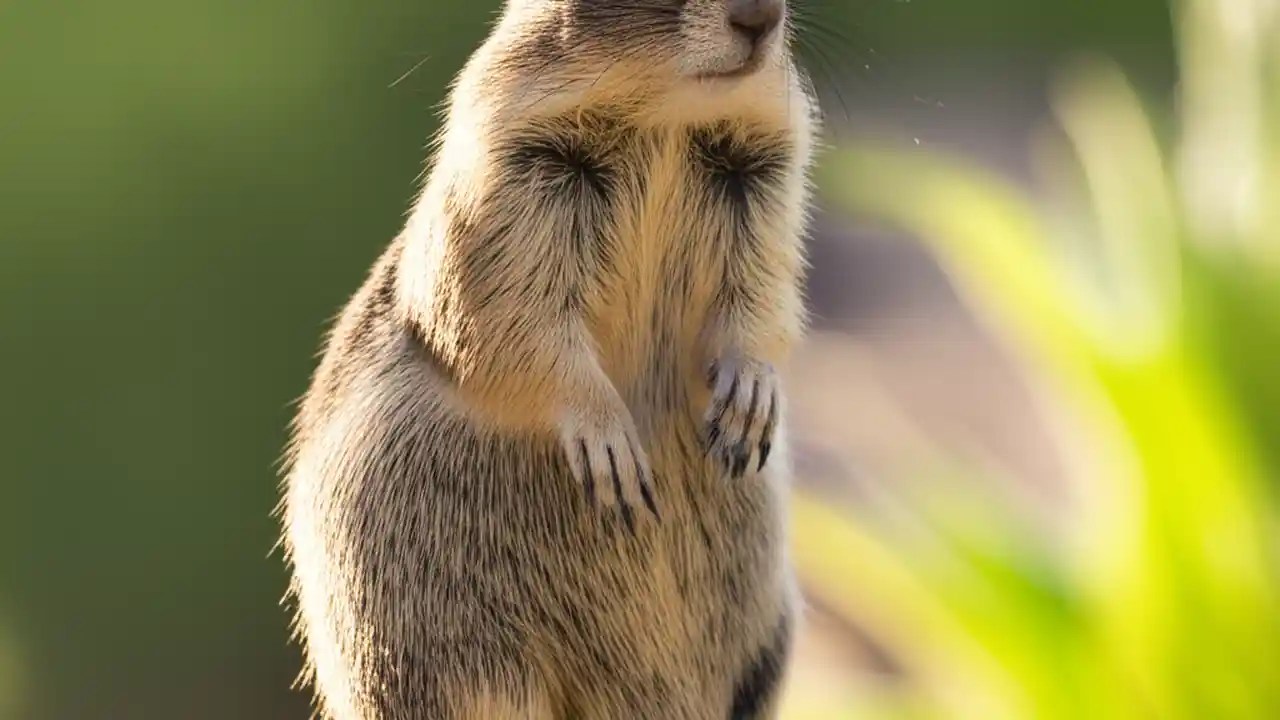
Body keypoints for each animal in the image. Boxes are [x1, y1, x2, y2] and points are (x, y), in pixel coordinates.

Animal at [280, 0, 816, 717]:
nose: (759, 18)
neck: (666, 117)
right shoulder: (508, 175)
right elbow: (516, 325)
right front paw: (609, 441)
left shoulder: (765, 174)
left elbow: (761, 298)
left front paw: (752, 395)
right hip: (453, 660)